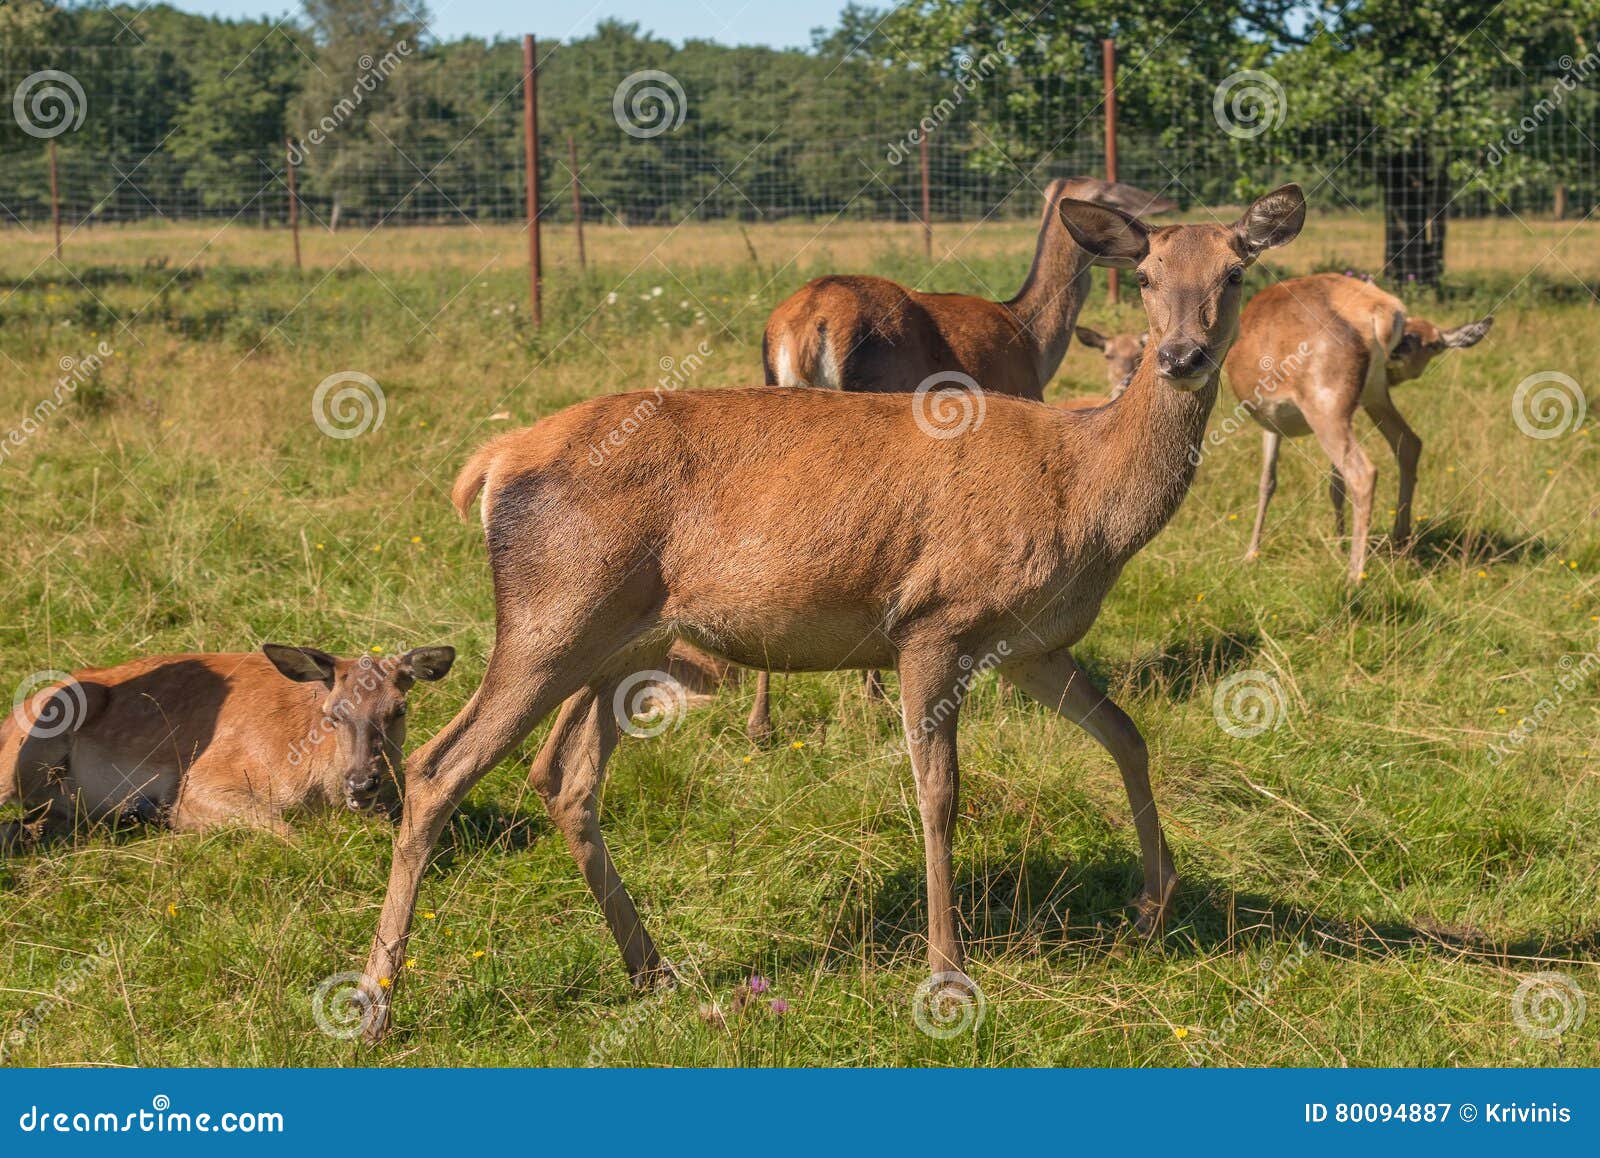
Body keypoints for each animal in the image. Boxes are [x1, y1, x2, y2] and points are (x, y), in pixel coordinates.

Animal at [350, 185, 1307, 1043]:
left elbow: (1126, 735)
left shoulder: (1030, 645)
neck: (1086, 496)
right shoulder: (935, 621)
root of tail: (492, 464)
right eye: (1143, 275)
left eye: (1235, 271)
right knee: (439, 768)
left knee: (563, 776)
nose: (1181, 354)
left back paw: (653, 967)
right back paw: (375, 1006)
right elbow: (938, 794)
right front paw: (947, 976)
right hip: (550, 613)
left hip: (624, 641)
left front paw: (1154, 903)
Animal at [1223, 272, 1492, 581]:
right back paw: (1399, 543)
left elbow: (1268, 480)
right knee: (1409, 443)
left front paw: (1250, 554)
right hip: (1372, 396)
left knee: (1364, 472)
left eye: (1435, 345)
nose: (1402, 355)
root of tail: (1379, 309)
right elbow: (1333, 485)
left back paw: (1354, 576)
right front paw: (1337, 544)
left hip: (1325, 407)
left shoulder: (1271, 420)